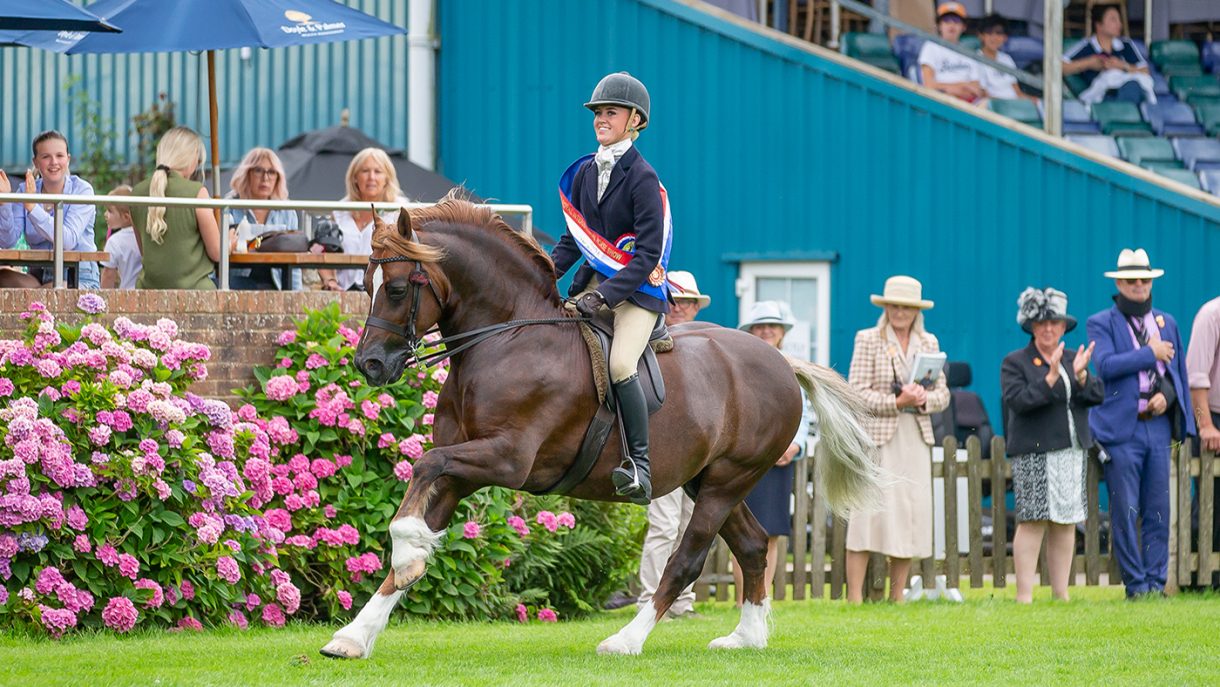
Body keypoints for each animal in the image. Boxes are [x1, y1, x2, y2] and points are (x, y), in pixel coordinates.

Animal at [320, 198, 878, 659]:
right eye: (366, 286)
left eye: (395, 289)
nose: (370, 364)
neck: (506, 338)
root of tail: (782, 361)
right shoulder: (463, 468)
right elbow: (417, 518)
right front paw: (355, 634)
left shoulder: (506, 458)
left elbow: (424, 465)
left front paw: (407, 550)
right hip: (708, 479)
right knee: (754, 546)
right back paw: (747, 637)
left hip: (728, 480)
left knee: (688, 559)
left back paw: (625, 640)